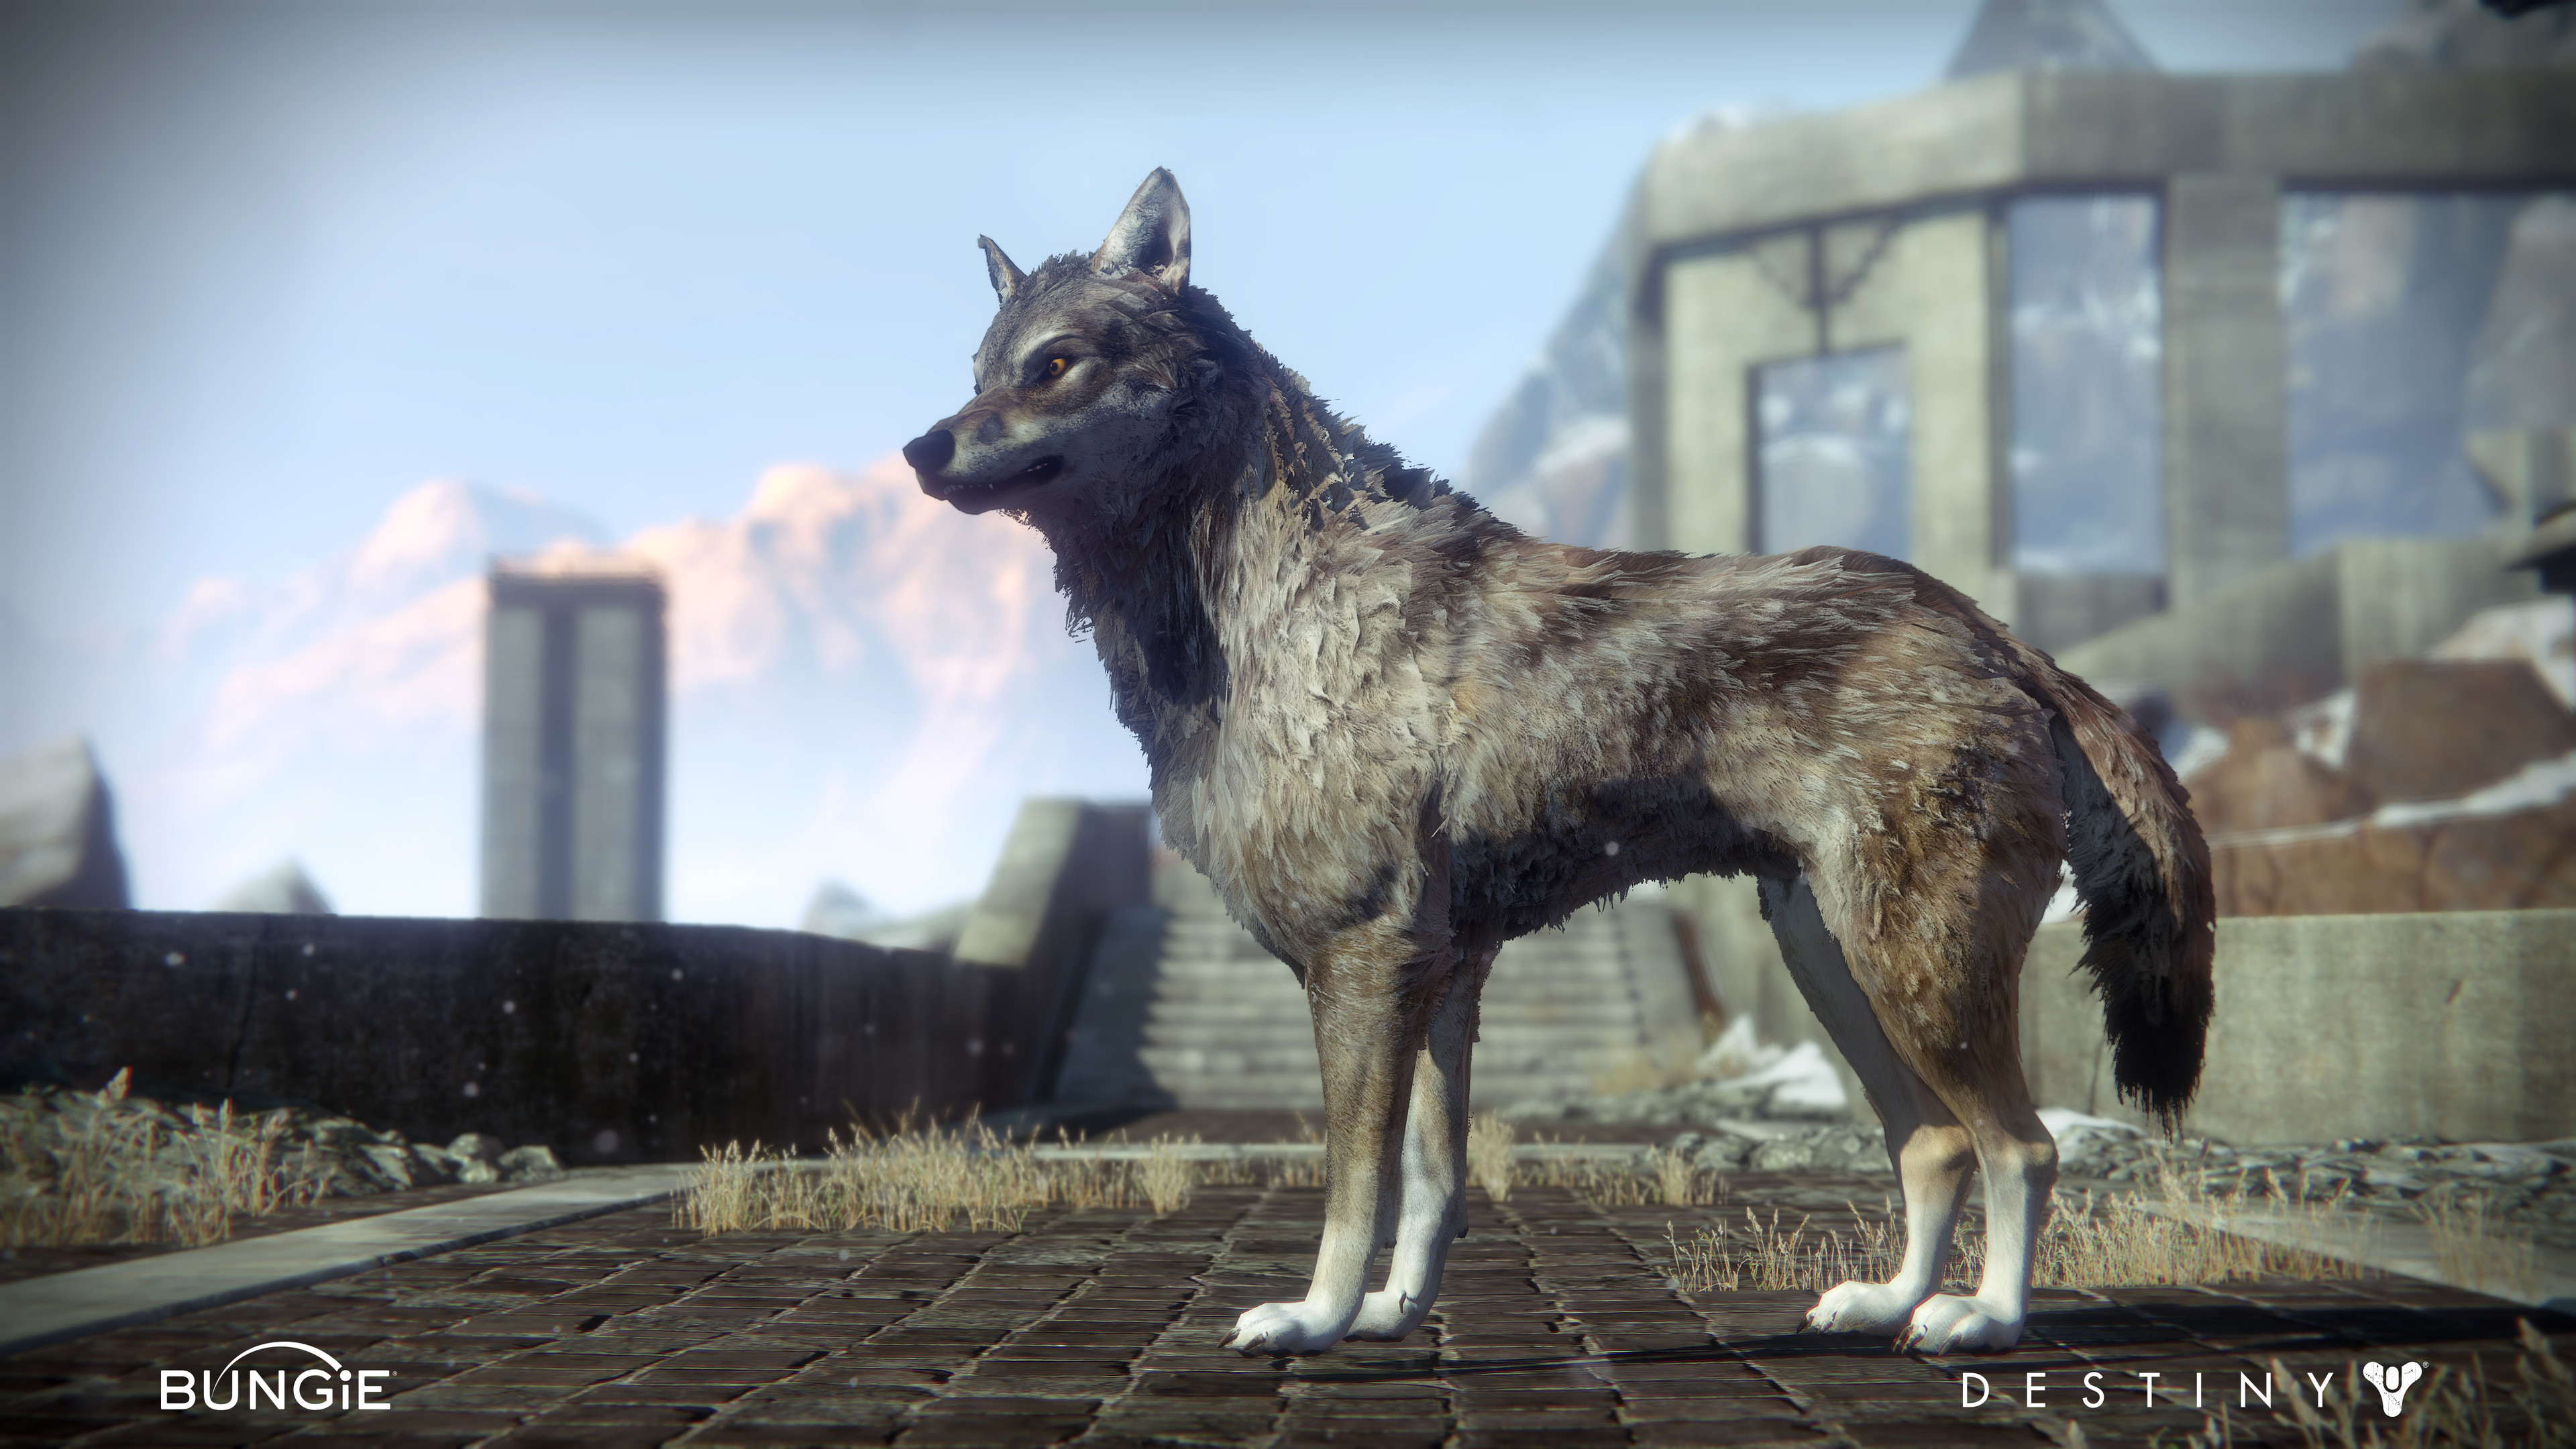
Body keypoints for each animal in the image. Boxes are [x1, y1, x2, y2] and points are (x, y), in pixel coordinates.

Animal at [905, 170, 2214, 1356]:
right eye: (979, 369)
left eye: (1054, 365)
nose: (919, 449)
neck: (1276, 603)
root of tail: (1996, 633)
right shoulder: (1440, 973)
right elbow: (1434, 1182)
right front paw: (1393, 1316)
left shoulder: (1362, 963)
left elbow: (1355, 1188)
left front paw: (1317, 1321)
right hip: (1834, 960)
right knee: (1935, 1145)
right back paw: (1885, 1306)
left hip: (1911, 971)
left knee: (2022, 1145)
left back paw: (1982, 1323)